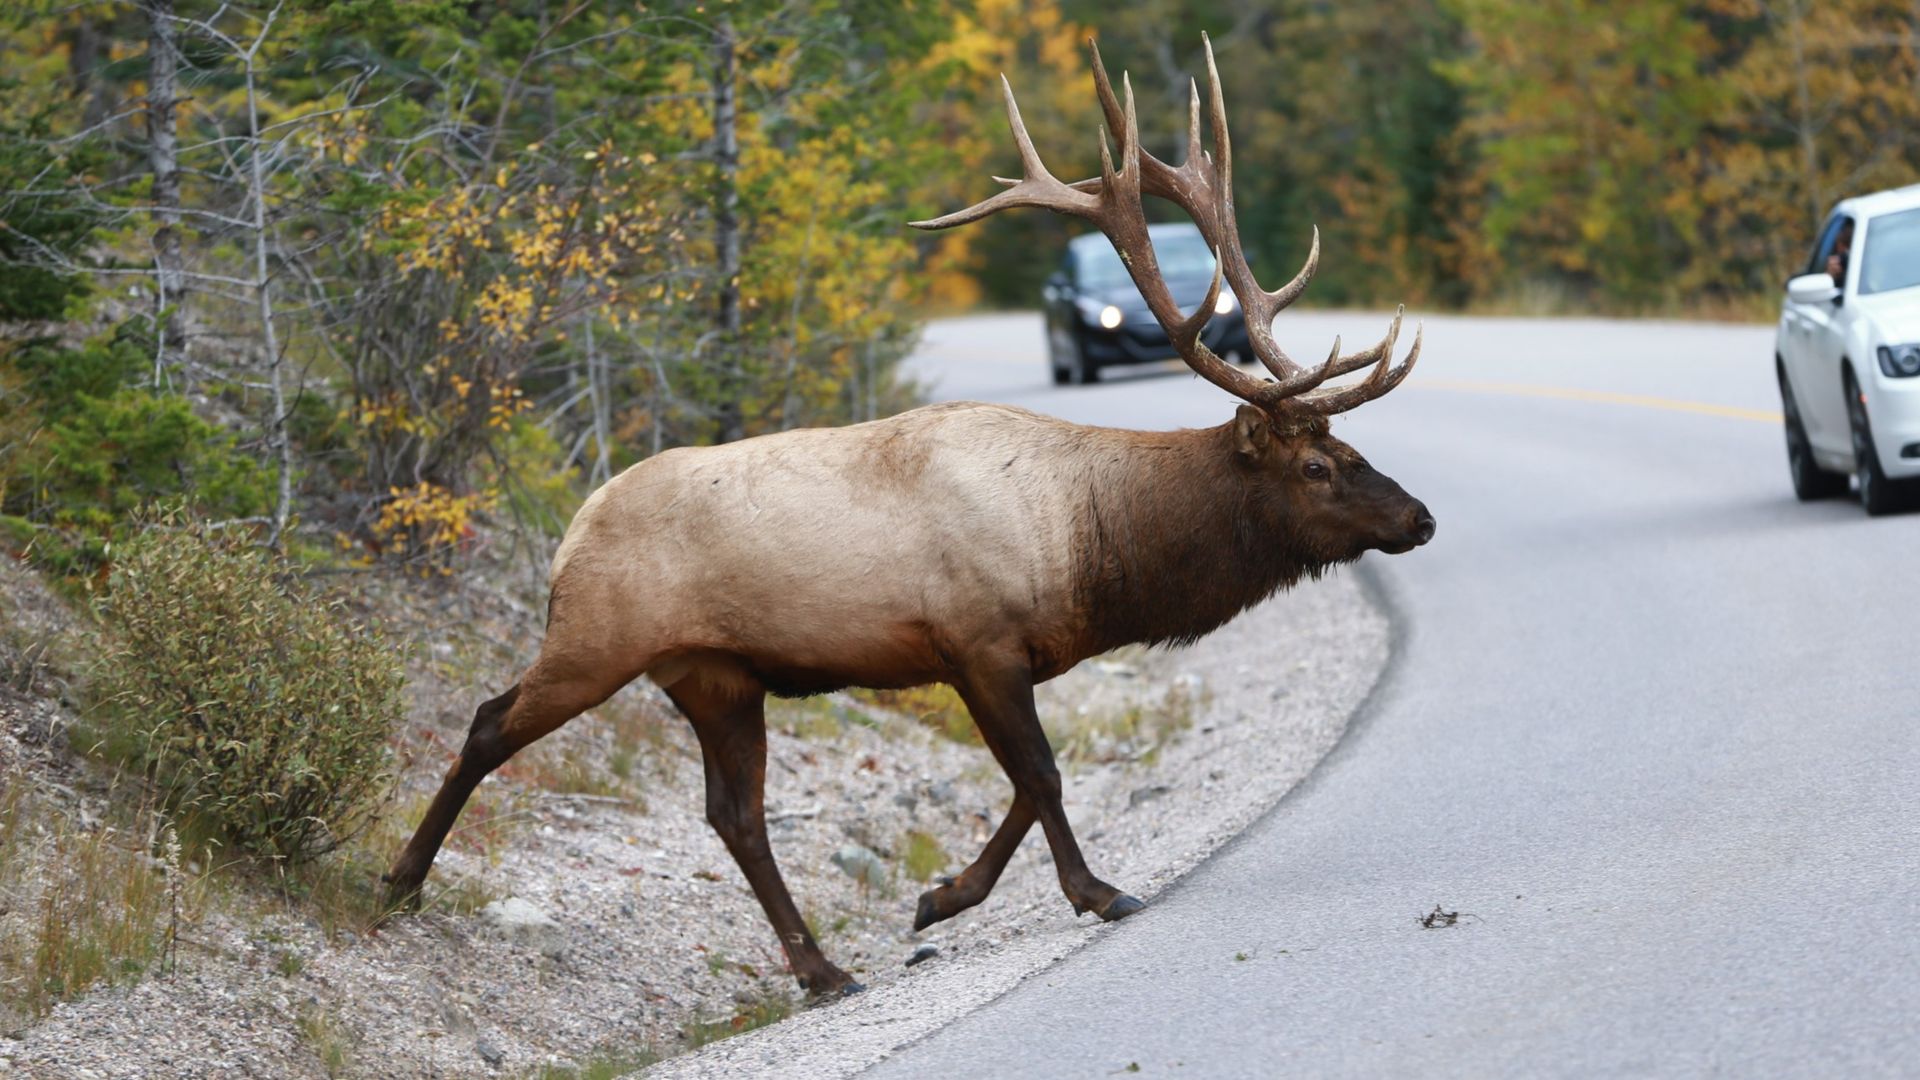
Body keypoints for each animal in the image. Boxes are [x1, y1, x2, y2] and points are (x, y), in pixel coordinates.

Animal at [382, 34, 1434, 998]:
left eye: (1348, 447)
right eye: (1317, 464)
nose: (1420, 518)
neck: (1092, 551)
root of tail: (570, 531)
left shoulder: (997, 655)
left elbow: (1024, 783)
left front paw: (939, 896)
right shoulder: (977, 639)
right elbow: (1042, 775)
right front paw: (1095, 892)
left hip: (713, 674)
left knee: (734, 813)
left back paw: (821, 968)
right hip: (599, 638)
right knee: (488, 723)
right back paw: (400, 882)